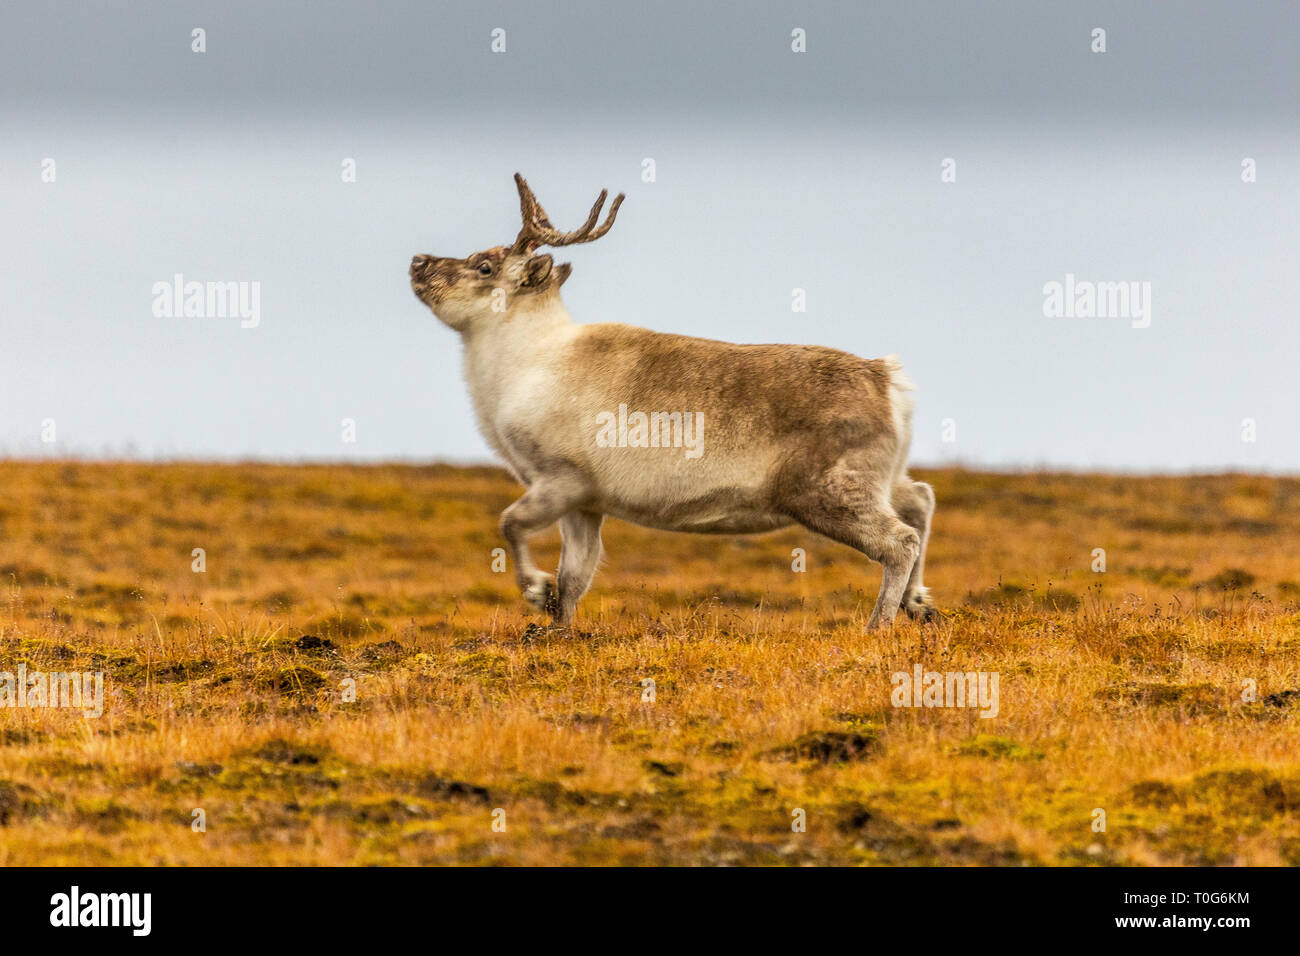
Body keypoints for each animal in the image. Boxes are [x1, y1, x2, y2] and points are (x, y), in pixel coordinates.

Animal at [409, 174, 937, 630]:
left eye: (485, 266)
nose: (418, 261)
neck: (528, 358)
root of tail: (887, 378)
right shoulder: (586, 503)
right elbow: (575, 578)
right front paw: (558, 630)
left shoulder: (561, 480)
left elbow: (510, 525)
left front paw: (536, 592)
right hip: (879, 478)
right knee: (920, 499)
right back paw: (918, 602)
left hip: (826, 492)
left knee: (899, 541)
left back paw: (878, 625)